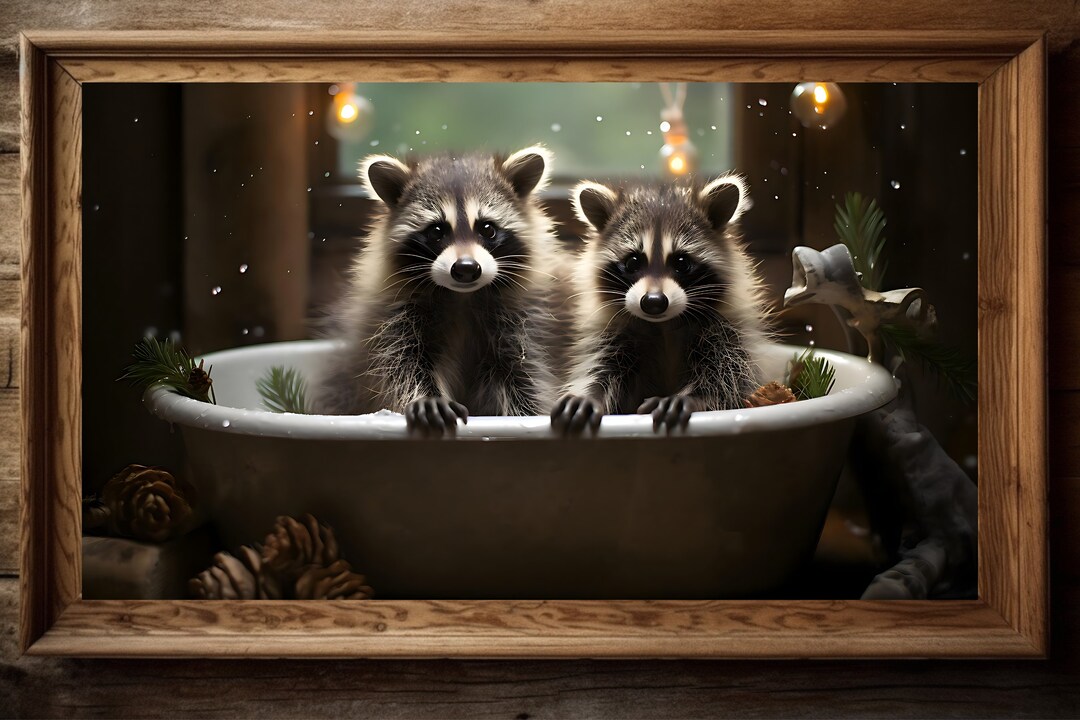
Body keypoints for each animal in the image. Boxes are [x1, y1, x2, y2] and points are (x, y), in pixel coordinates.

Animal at [313, 146, 561, 432]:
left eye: (487, 229)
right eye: (436, 231)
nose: (466, 268)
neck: (463, 296)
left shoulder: (517, 324)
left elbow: (521, 372)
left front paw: (527, 414)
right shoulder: (395, 319)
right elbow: (404, 366)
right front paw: (428, 399)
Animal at [551, 176, 769, 433]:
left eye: (682, 262)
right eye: (633, 262)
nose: (653, 302)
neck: (663, 324)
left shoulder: (725, 333)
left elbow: (727, 378)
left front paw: (691, 397)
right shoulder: (612, 335)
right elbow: (602, 369)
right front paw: (589, 394)